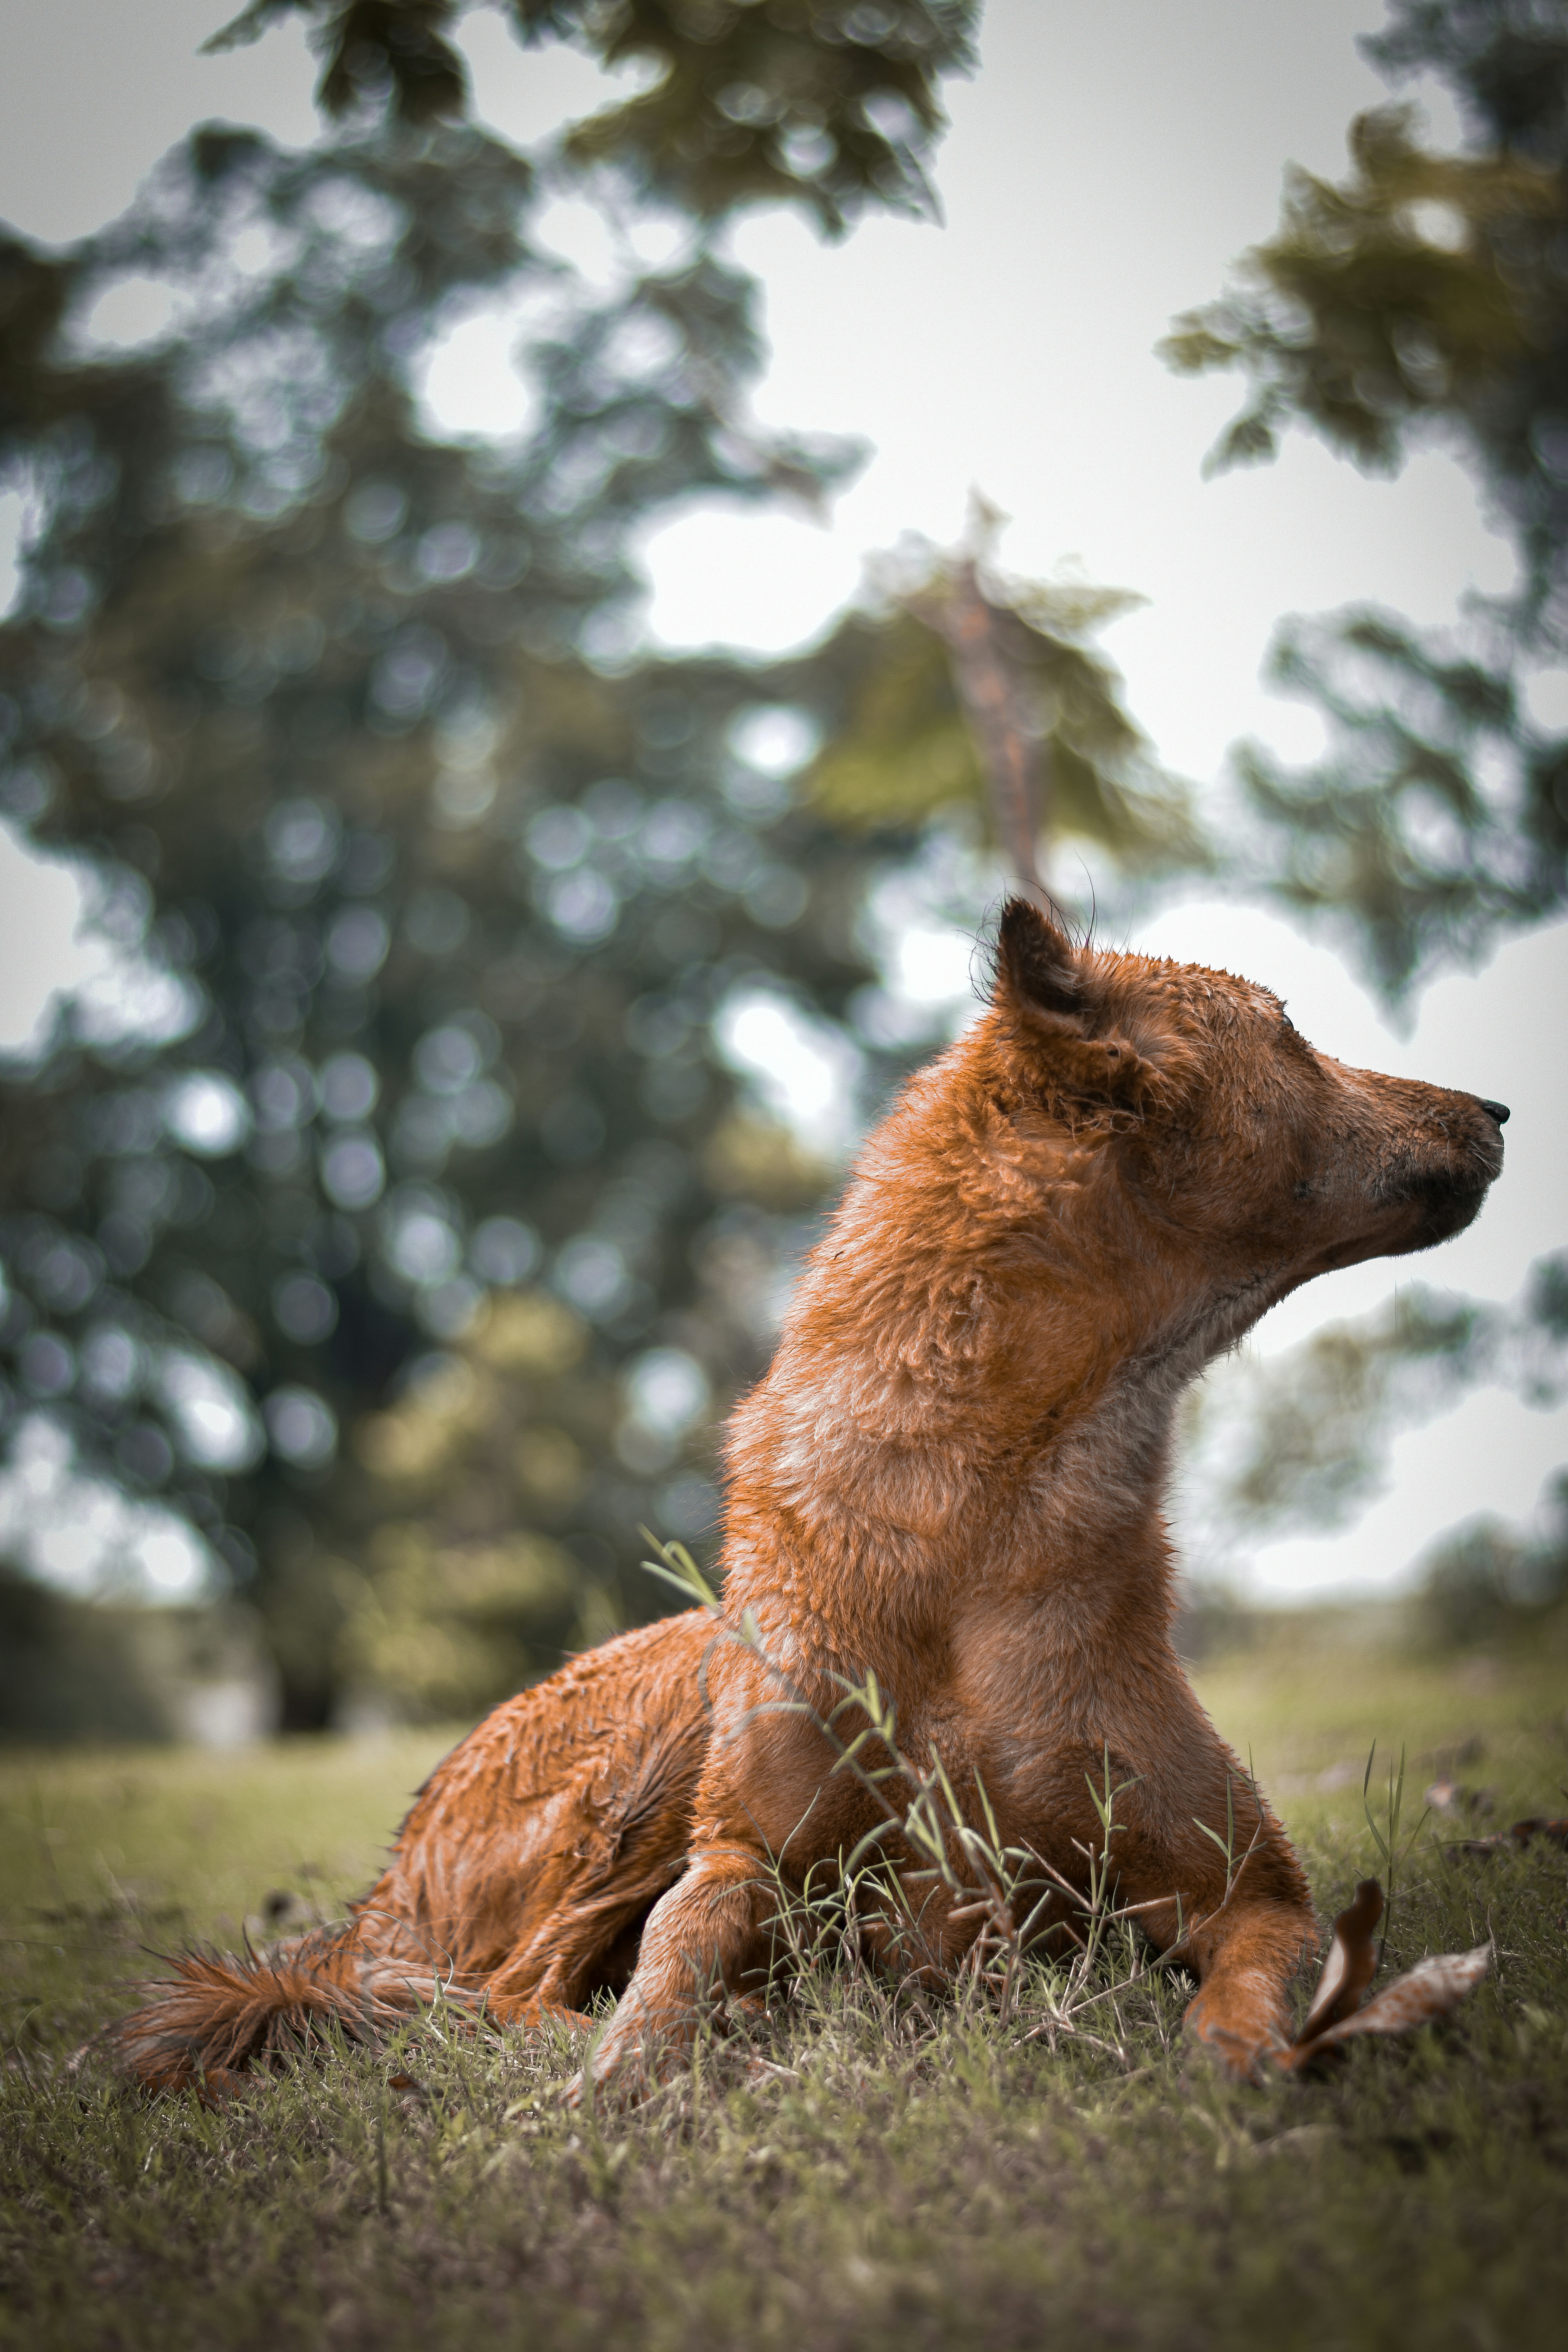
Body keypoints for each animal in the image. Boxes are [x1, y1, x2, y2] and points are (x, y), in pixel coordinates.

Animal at [116, 898, 1508, 2096]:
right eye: (1292, 1034)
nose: (1499, 1103)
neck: (978, 1524)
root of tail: (377, 1895)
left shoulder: (1248, 1886)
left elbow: (1255, 1984)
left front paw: (1240, 2059)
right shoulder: (738, 1853)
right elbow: (668, 1969)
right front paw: (626, 2072)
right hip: (661, 1727)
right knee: (500, 1990)